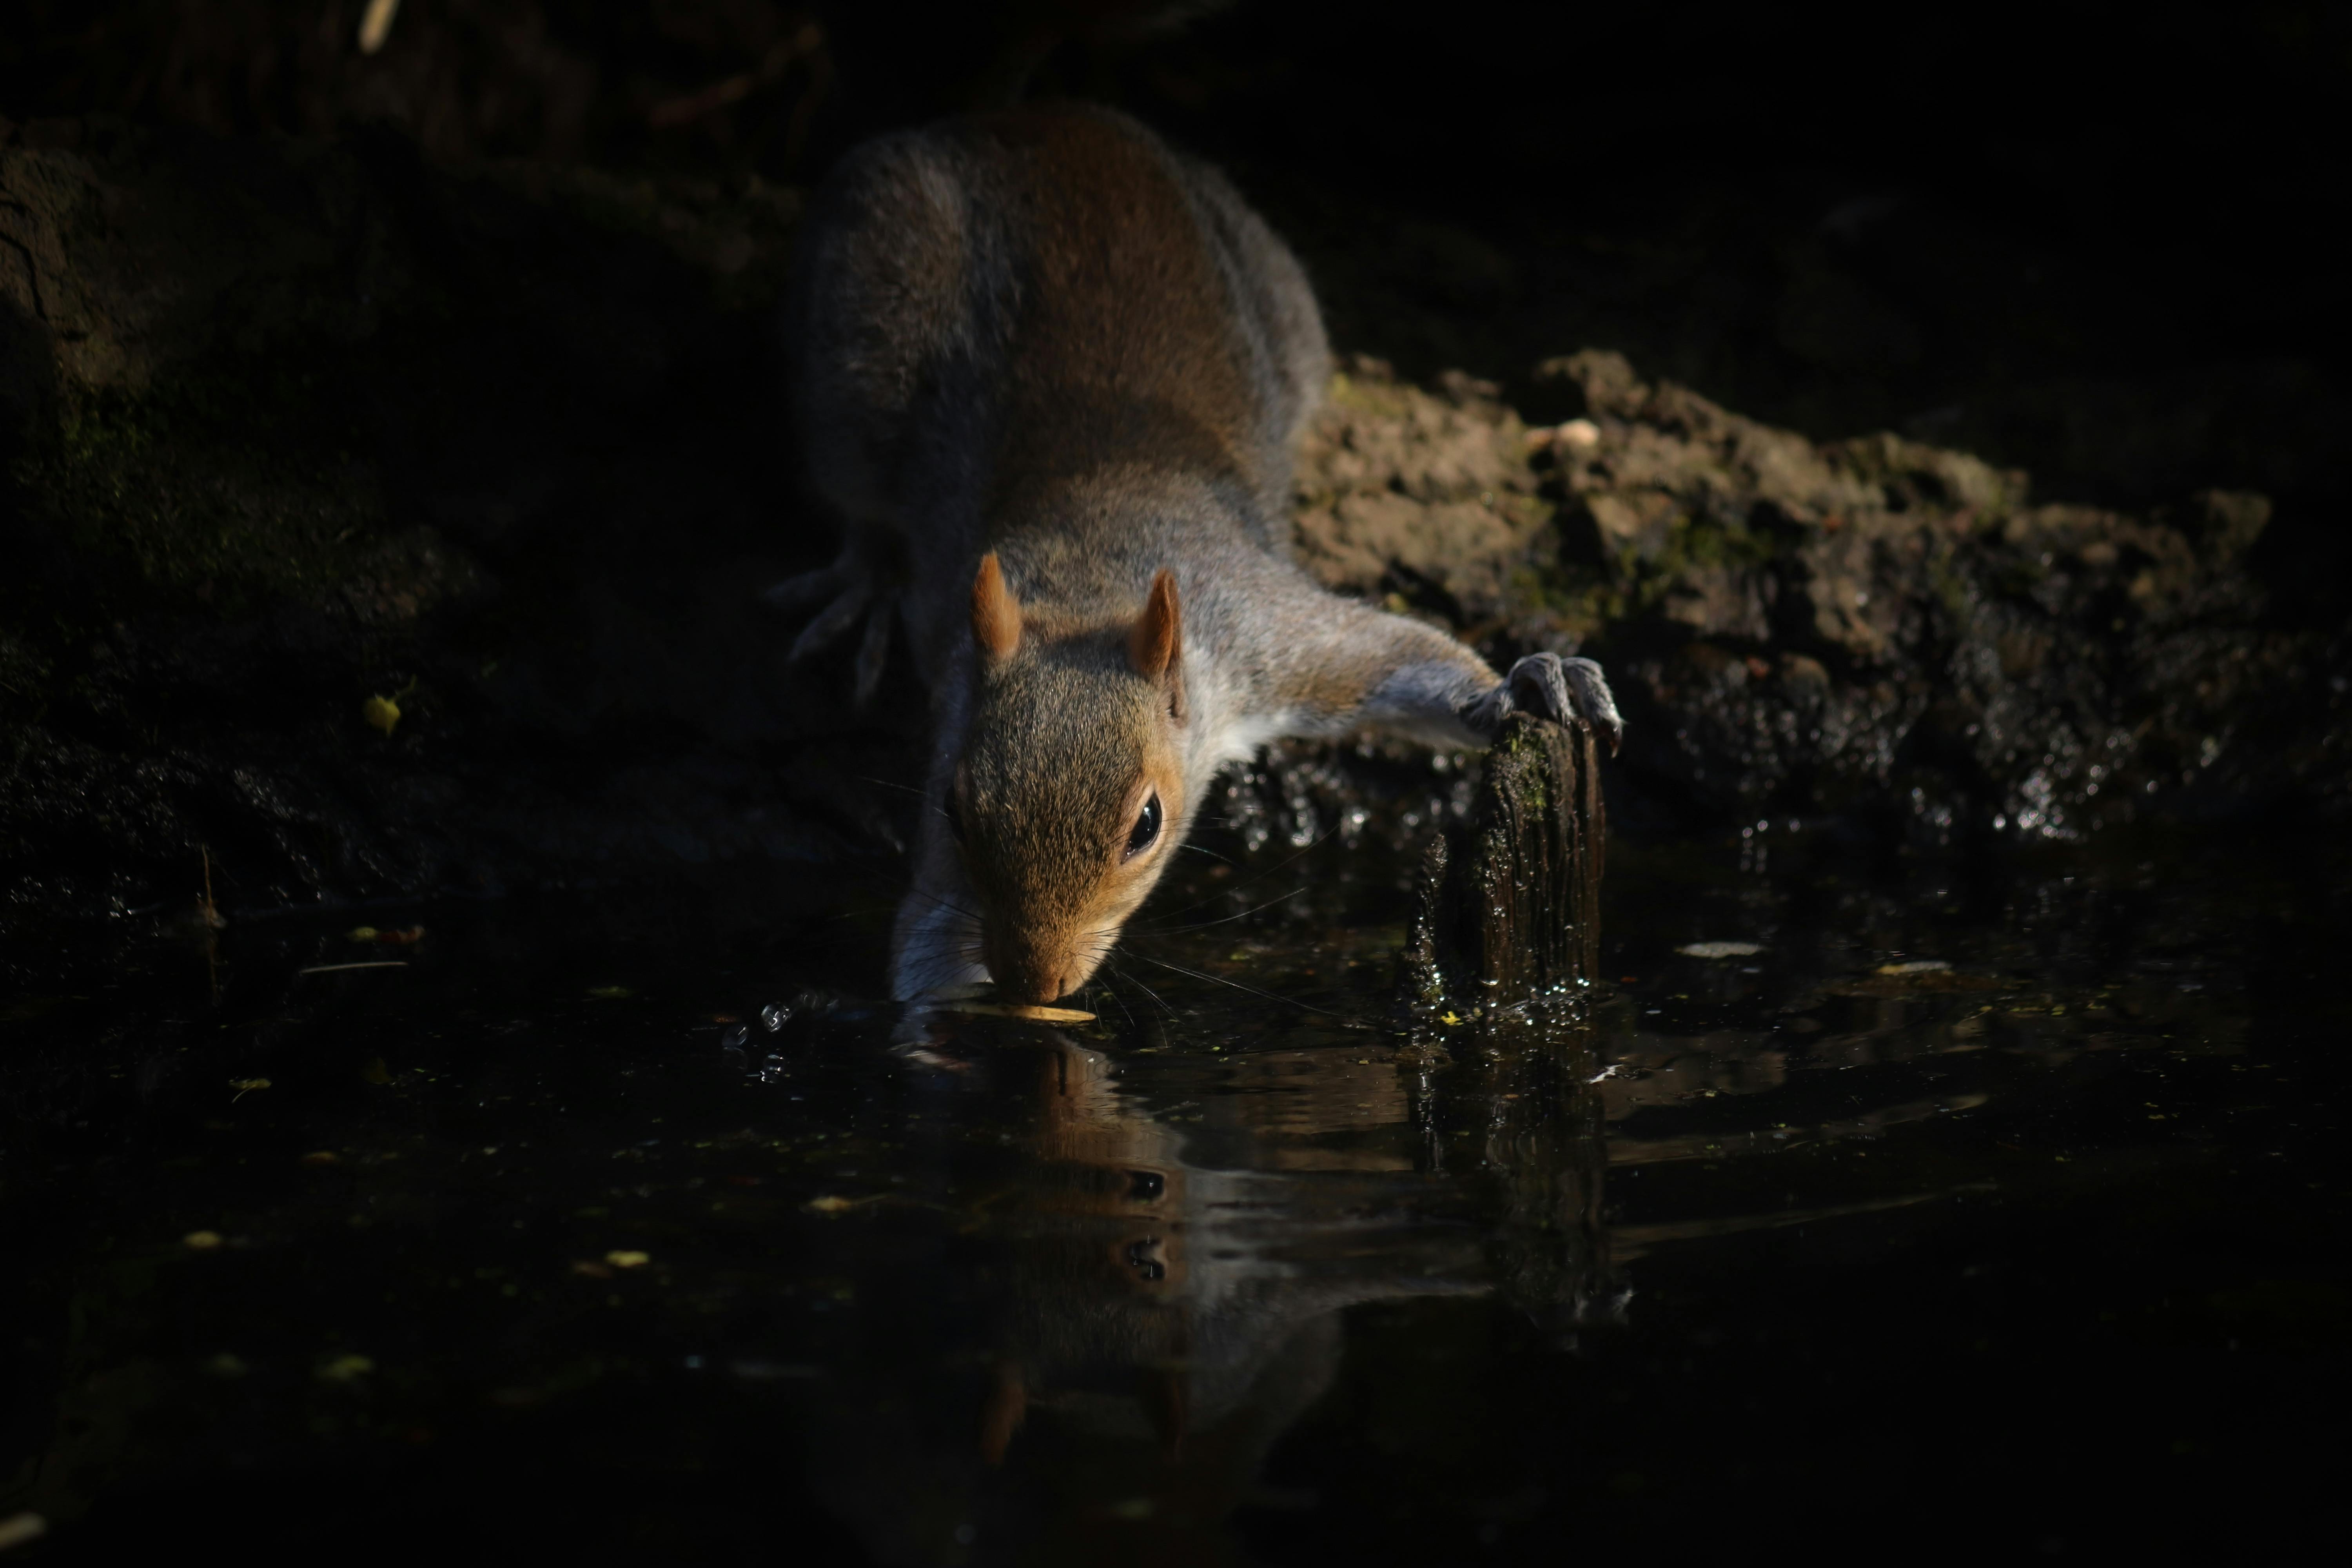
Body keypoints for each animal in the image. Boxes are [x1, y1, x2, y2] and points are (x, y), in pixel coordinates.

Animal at [774, 104, 1620, 1005]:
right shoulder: (957, 705)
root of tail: (1025, 119)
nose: (1035, 980)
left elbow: (1393, 654)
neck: (1091, 582)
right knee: (863, 507)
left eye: (1147, 824)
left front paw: (1525, 683)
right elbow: (927, 935)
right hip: (855, 344)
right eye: (953, 808)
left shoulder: (1263, 632)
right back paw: (866, 587)